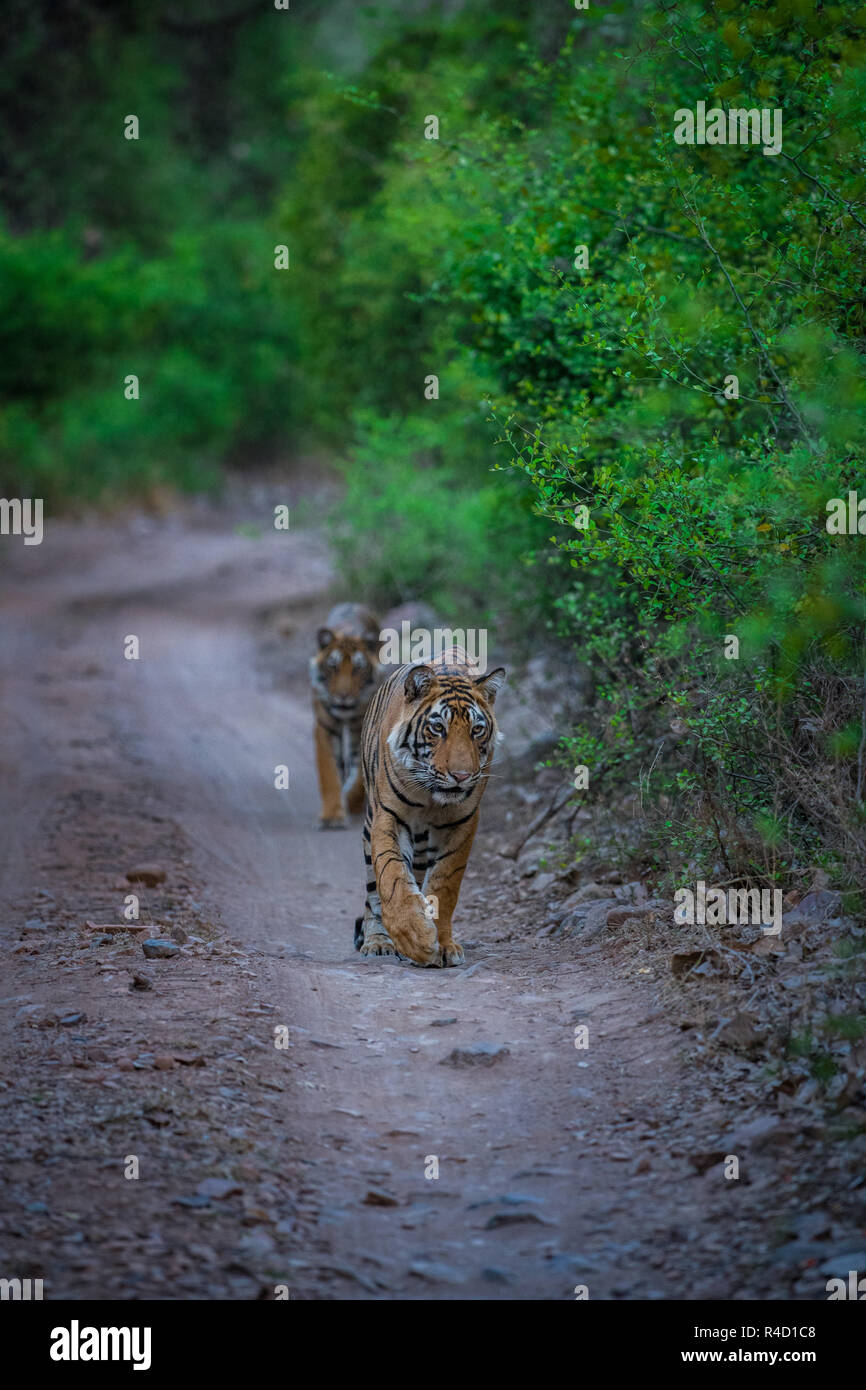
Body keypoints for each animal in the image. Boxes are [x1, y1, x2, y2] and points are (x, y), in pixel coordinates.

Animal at [311, 603, 383, 829]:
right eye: (332, 667)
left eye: (358, 669)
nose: (343, 697)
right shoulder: (325, 727)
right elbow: (329, 772)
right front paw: (332, 815)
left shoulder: (362, 727)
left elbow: (359, 777)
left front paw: (351, 803)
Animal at [354, 645, 505, 967]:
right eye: (437, 728)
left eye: (477, 730)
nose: (461, 776)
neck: (430, 797)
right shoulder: (388, 817)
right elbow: (392, 877)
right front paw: (414, 937)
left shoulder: (462, 823)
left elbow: (444, 885)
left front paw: (443, 945)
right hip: (369, 827)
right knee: (373, 891)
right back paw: (378, 941)